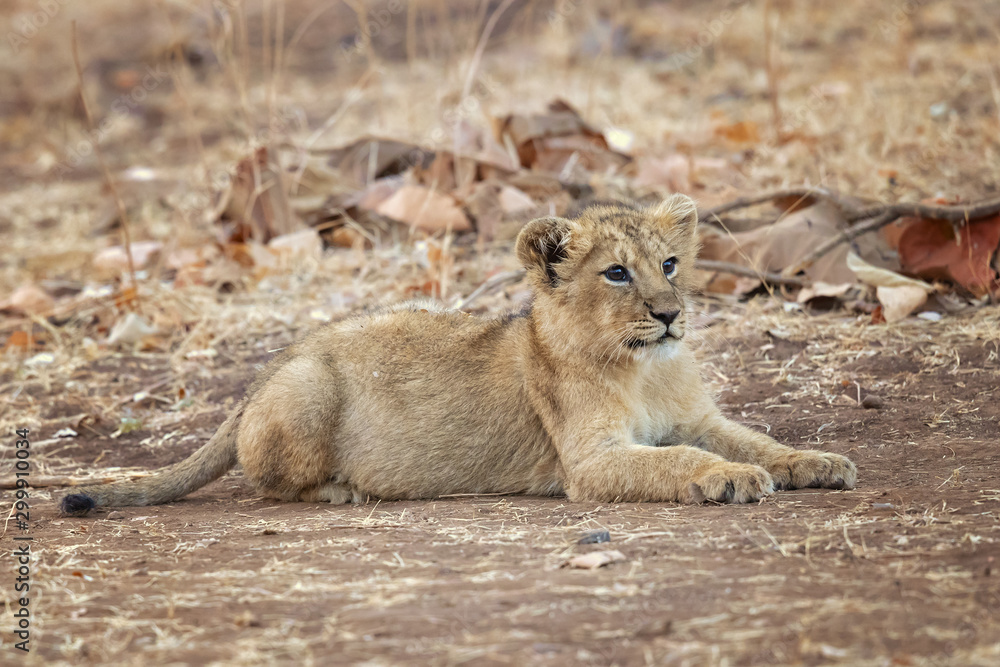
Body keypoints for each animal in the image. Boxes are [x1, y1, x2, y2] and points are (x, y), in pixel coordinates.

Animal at [60, 194, 856, 516]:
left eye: (668, 264)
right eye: (616, 273)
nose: (670, 314)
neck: (645, 366)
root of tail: (264, 374)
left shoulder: (699, 416)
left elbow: (756, 438)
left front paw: (818, 462)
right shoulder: (589, 461)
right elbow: (678, 460)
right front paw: (730, 480)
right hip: (307, 392)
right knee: (268, 483)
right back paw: (343, 491)